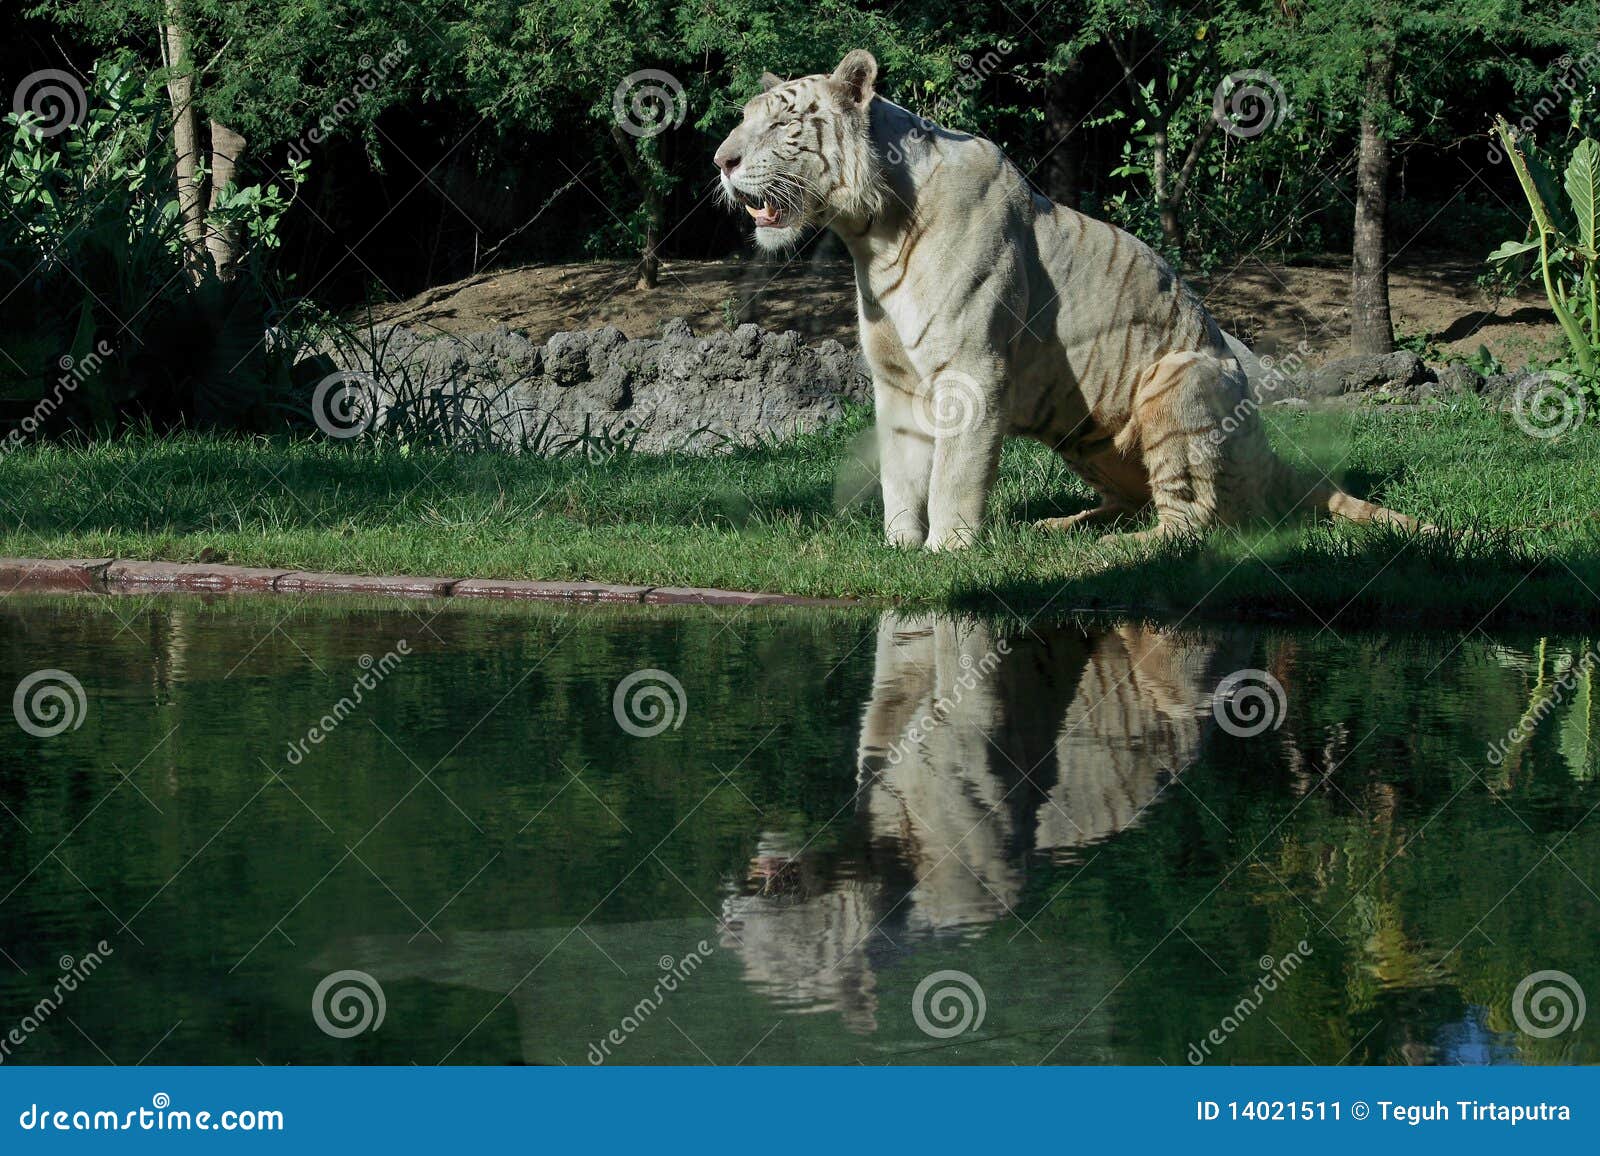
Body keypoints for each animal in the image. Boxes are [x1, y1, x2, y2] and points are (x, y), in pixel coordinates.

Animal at [713, 49, 1421, 550]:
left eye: (782, 121)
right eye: (744, 119)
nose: (720, 161)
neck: (872, 233)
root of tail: (1269, 450)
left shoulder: (971, 368)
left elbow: (953, 471)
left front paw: (947, 550)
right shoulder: (896, 379)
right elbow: (901, 469)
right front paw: (897, 546)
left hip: (1181, 376)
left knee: (1192, 522)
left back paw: (1116, 551)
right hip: (1084, 434)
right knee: (1135, 501)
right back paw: (1059, 527)